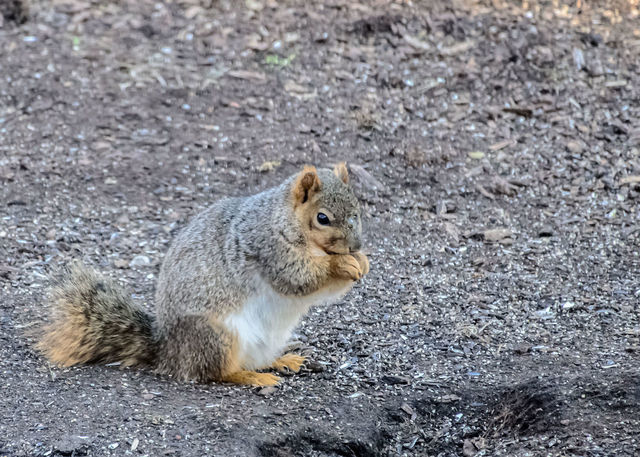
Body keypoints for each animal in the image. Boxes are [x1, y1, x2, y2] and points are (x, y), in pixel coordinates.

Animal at [37, 163, 369, 386]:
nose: (356, 245)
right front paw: (341, 264)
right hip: (218, 337)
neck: (284, 219)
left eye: (358, 209)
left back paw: (282, 360)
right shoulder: (267, 246)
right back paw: (251, 377)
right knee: (216, 372)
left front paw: (361, 261)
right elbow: (298, 277)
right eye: (322, 218)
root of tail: (169, 351)